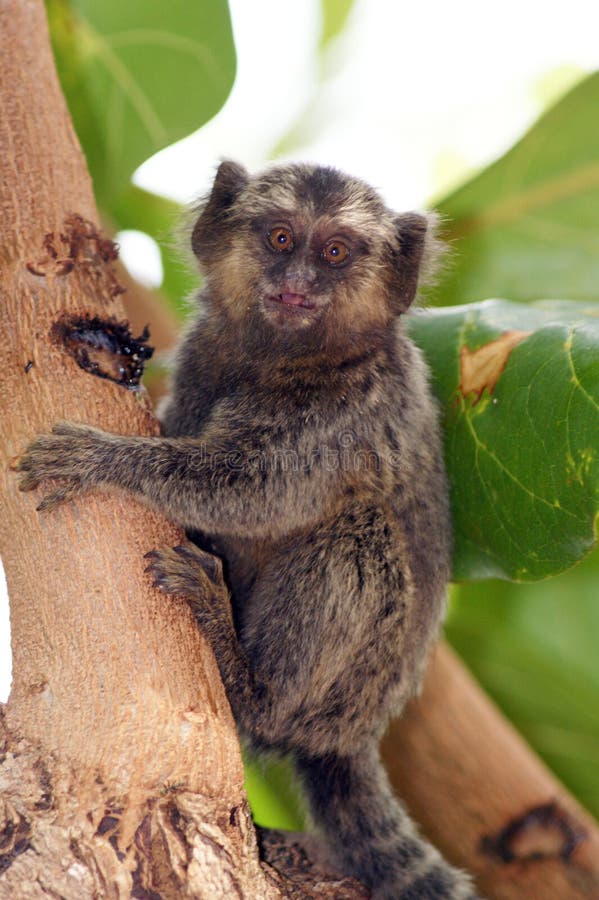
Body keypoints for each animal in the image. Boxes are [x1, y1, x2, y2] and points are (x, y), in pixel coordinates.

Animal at [17, 160, 480, 899]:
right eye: (281, 237)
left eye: (335, 252)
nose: (299, 282)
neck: (279, 361)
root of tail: (349, 734)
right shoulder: (202, 359)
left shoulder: (342, 413)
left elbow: (251, 490)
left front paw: (100, 459)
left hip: (342, 687)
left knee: (355, 537)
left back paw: (245, 680)